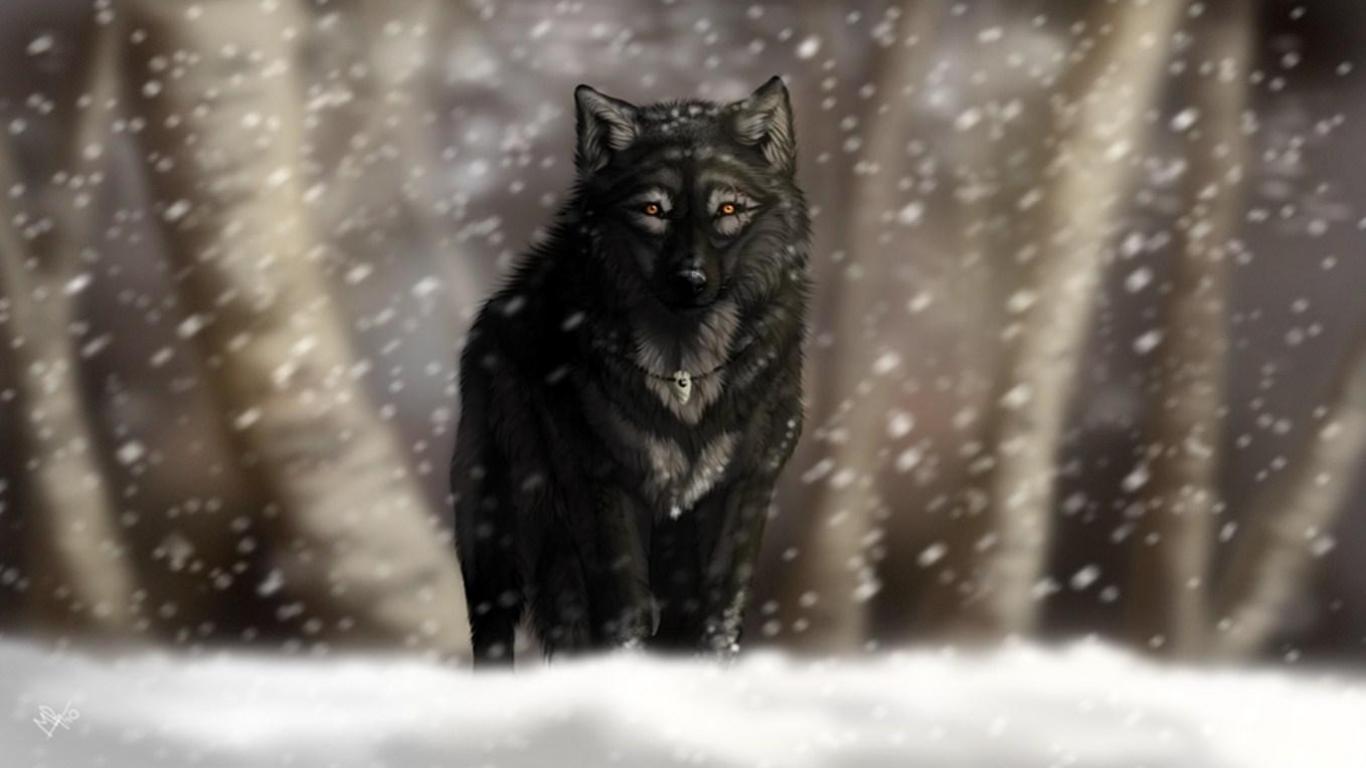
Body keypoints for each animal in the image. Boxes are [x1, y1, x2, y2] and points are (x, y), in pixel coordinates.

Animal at [450, 76, 809, 666]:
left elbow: (718, 612)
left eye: (727, 208)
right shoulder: (600, 484)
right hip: (496, 533)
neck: (685, 373)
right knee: (496, 627)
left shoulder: (745, 483)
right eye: (653, 210)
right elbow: (625, 612)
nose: (691, 279)